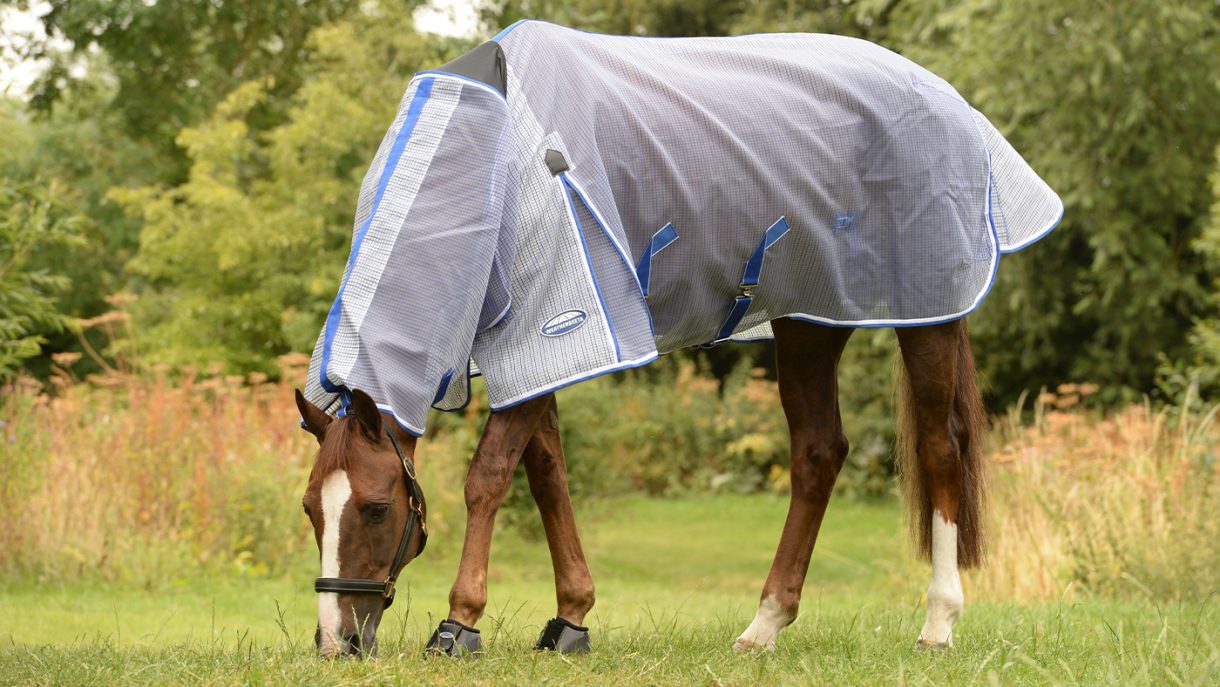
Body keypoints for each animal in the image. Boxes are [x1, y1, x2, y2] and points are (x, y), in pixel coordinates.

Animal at [295, 20, 1059, 658]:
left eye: (375, 507)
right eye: (309, 509)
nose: (336, 642)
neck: (491, 161)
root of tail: (947, 98)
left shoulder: (550, 325)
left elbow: (489, 477)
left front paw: (460, 624)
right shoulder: (536, 350)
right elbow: (547, 474)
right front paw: (571, 618)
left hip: (927, 314)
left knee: (938, 448)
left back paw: (937, 623)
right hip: (810, 320)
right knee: (818, 454)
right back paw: (764, 625)